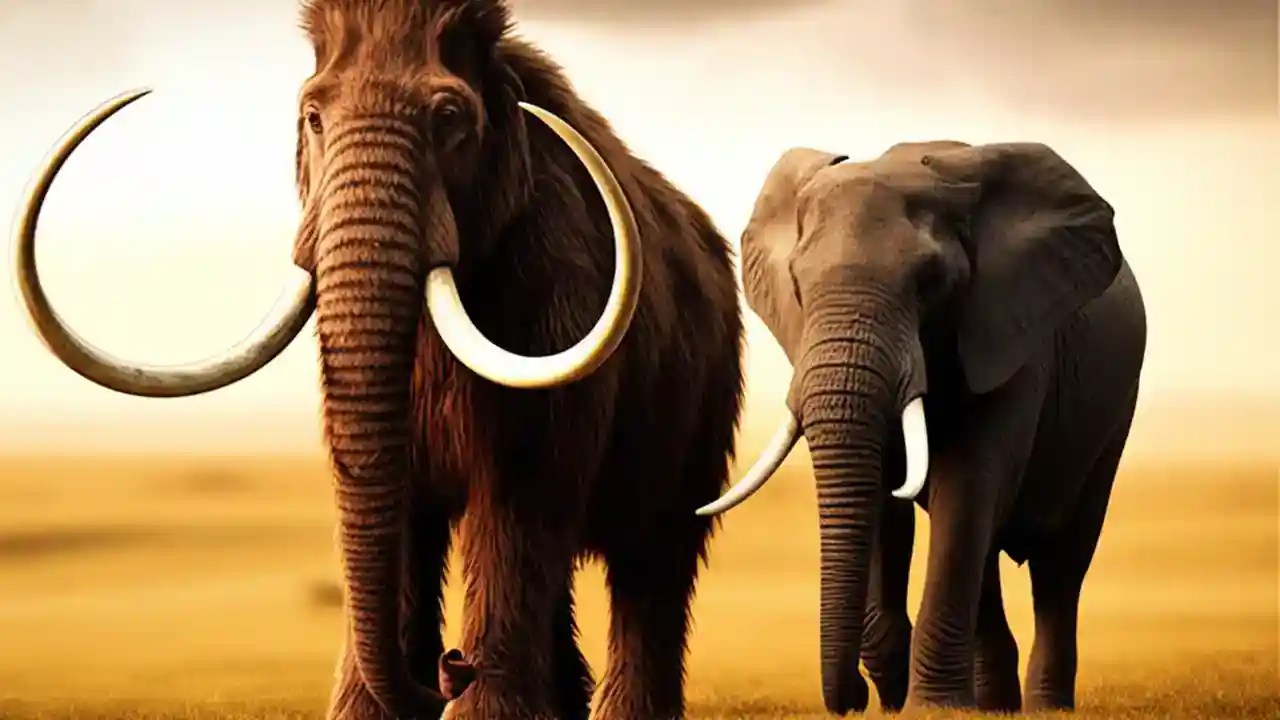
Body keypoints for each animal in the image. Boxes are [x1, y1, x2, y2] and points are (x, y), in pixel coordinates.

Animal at [12, 1, 745, 718]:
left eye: (448, 117)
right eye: (313, 116)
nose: (452, 667)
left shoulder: (557, 286)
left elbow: (516, 490)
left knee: (654, 558)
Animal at [699, 140, 1147, 714]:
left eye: (930, 284)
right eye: (797, 284)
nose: (853, 698)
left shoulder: (1009, 336)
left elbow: (968, 486)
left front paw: (932, 708)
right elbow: (884, 504)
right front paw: (903, 697)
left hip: (1113, 413)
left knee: (1060, 561)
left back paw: (1043, 707)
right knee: (990, 560)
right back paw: (994, 704)